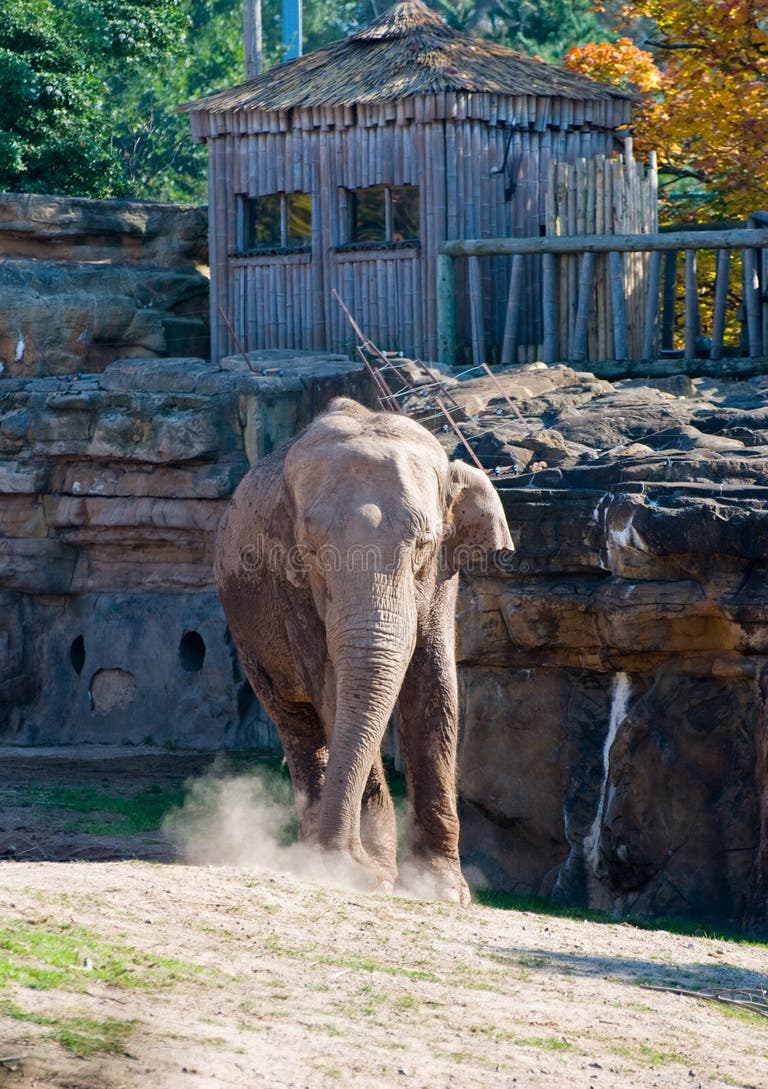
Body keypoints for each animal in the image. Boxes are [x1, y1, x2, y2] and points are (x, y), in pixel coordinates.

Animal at [214, 396, 513, 904]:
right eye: (310, 552)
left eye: (424, 546)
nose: (345, 860)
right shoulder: (290, 591)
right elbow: (331, 690)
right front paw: (368, 876)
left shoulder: (441, 581)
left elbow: (435, 686)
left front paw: (442, 890)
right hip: (246, 630)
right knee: (296, 723)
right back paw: (311, 852)